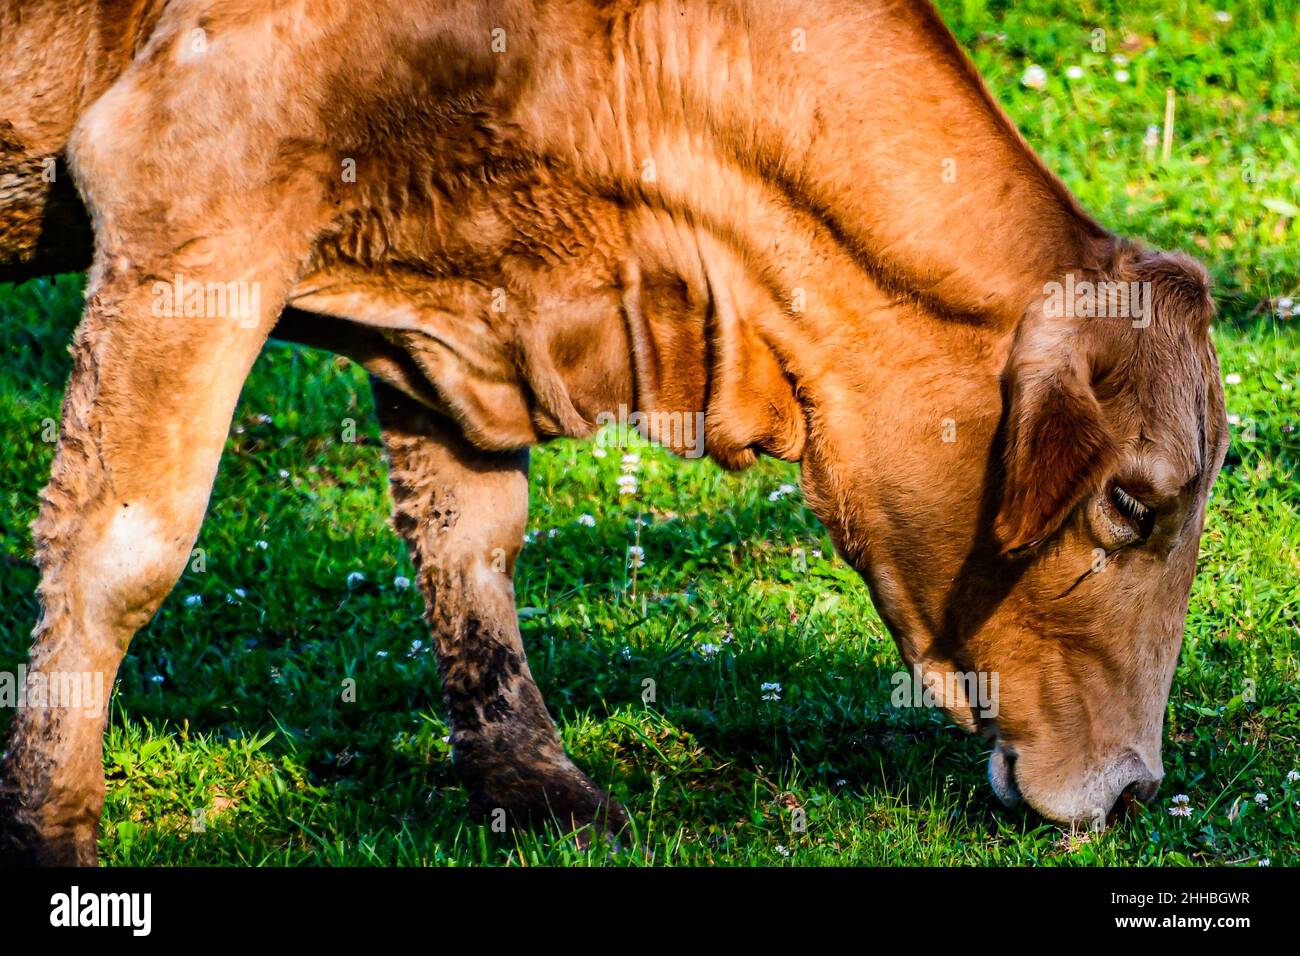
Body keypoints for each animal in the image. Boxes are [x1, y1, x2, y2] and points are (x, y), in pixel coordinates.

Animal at [0, 0, 1229, 865]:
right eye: (1132, 499)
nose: (1133, 789)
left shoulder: (448, 299)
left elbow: (470, 539)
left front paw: (534, 784)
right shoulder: (192, 181)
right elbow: (122, 549)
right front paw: (46, 825)